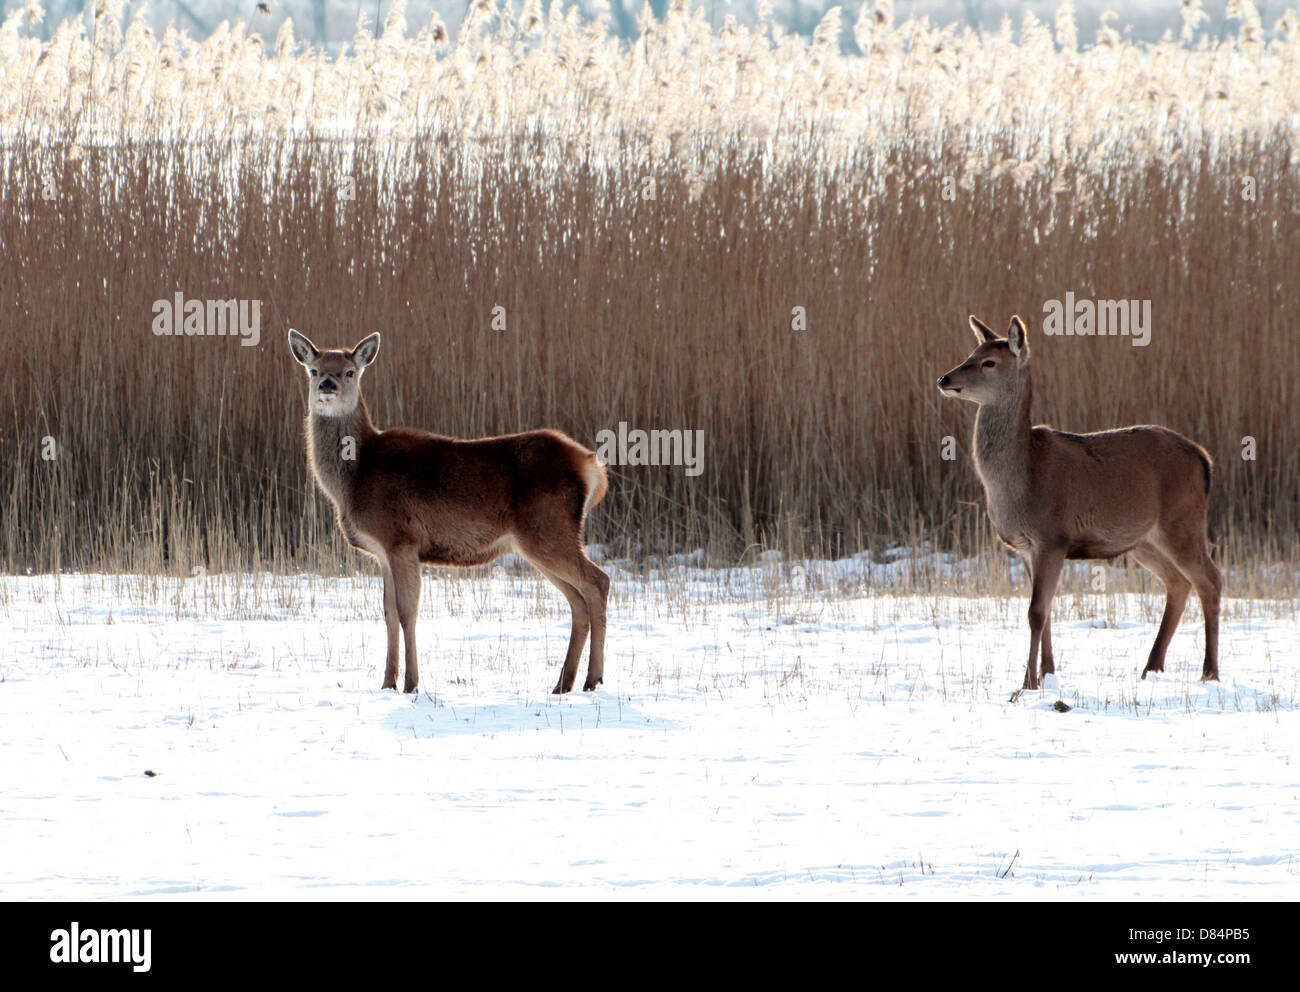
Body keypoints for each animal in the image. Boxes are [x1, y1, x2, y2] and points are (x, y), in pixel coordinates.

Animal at [287, 329, 610, 696]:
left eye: (349, 371)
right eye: (313, 370)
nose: (327, 384)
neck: (354, 479)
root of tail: (592, 467)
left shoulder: (401, 539)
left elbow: (406, 612)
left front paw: (411, 684)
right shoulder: (382, 552)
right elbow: (387, 612)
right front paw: (387, 682)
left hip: (548, 528)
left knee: (597, 582)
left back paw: (592, 678)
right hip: (537, 541)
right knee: (577, 600)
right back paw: (563, 683)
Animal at [937, 314, 1221, 692]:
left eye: (989, 362)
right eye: (971, 353)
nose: (944, 379)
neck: (1022, 480)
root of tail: (1205, 460)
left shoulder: (1052, 537)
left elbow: (1035, 612)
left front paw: (1026, 684)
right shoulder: (1027, 547)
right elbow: (1045, 611)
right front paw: (1047, 675)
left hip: (1183, 521)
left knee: (1210, 580)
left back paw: (1209, 672)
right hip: (1142, 540)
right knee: (1178, 582)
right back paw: (1151, 668)